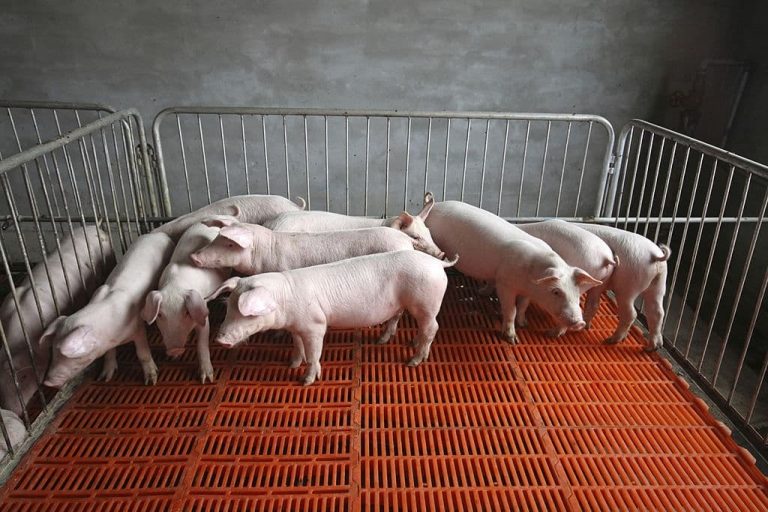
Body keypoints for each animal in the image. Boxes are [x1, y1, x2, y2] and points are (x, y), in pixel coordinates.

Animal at [41, 232, 175, 388]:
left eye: (76, 358)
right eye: (53, 353)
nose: (47, 382)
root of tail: (158, 233)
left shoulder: (137, 328)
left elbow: (142, 353)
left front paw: (151, 381)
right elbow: (109, 354)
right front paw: (104, 378)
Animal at [142, 223, 229, 384]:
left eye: (187, 312)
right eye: (160, 315)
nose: (175, 349)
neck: (175, 285)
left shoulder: (202, 307)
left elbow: (202, 343)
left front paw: (207, 379)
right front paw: (174, 358)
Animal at [206, 250, 457, 385]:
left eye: (247, 313)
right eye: (228, 308)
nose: (220, 339)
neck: (285, 298)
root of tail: (438, 263)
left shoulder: (315, 325)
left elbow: (314, 353)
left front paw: (306, 381)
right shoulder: (296, 326)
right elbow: (297, 346)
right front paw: (292, 364)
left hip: (426, 302)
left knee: (432, 328)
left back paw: (414, 360)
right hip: (407, 303)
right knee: (403, 320)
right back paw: (386, 341)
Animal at [425, 200, 601, 343]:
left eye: (577, 292)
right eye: (556, 291)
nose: (579, 322)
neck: (530, 276)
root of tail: (437, 205)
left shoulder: (528, 291)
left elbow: (523, 305)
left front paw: (524, 324)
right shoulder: (505, 284)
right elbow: (511, 310)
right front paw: (512, 339)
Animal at [573, 223, 671, 351]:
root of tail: (655, 255)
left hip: (628, 286)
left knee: (630, 313)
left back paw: (611, 340)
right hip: (659, 284)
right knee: (657, 312)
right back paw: (652, 347)